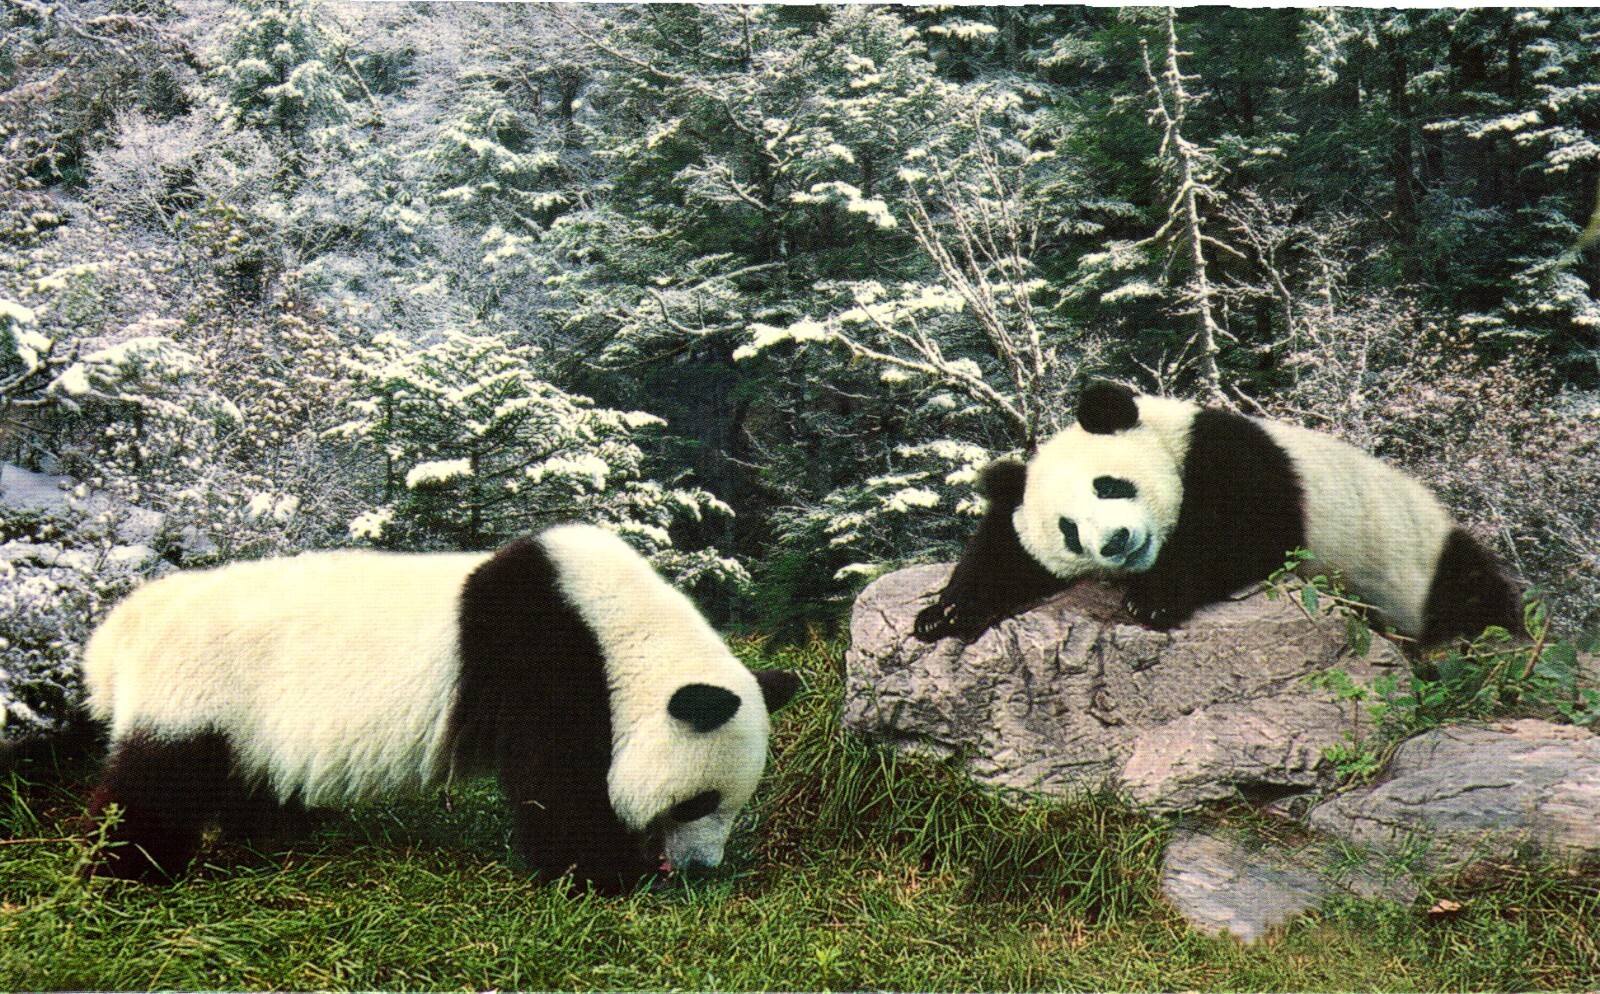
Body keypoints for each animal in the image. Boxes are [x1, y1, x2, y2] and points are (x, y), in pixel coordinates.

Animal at [82, 522, 800, 889]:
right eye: (698, 803)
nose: (701, 867)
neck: (628, 635)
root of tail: (129, 624)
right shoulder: (548, 664)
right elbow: (559, 789)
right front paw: (606, 872)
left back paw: (278, 839)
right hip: (203, 686)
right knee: (162, 780)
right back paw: (128, 871)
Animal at [914, 381, 1521, 649]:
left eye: (1109, 485)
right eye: (1069, 529)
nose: (1115, 541)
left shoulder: (1229, 453)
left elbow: (1245, 530)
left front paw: (1154, 598)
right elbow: (1004, 554)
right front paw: (943, 614)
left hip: (1420, 552)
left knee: (1469, 592)